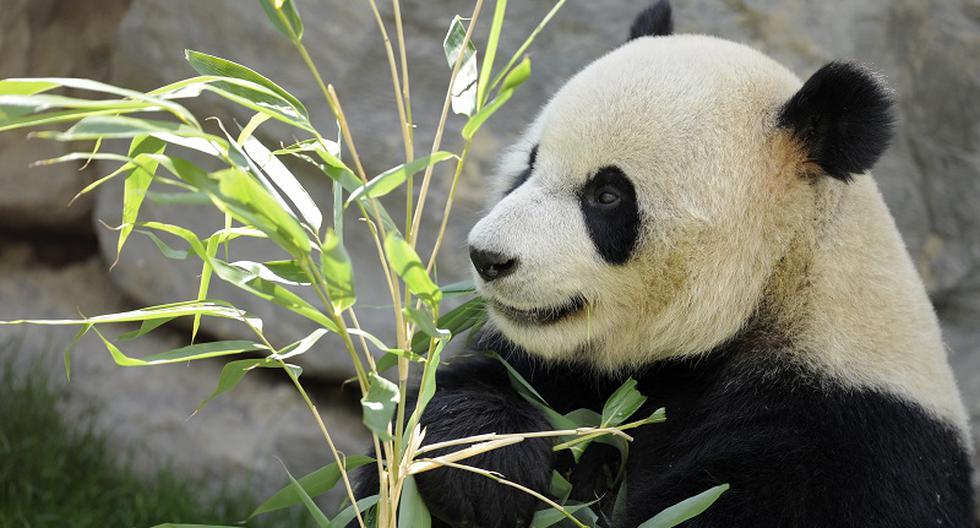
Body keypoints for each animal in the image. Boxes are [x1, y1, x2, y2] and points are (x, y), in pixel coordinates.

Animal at [358, 1, 976, 526]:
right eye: (528, 166)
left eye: (607, 196)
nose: (488, 257)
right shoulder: (548, 368)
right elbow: (434, 413)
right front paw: (484, 464)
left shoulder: (844, 440)